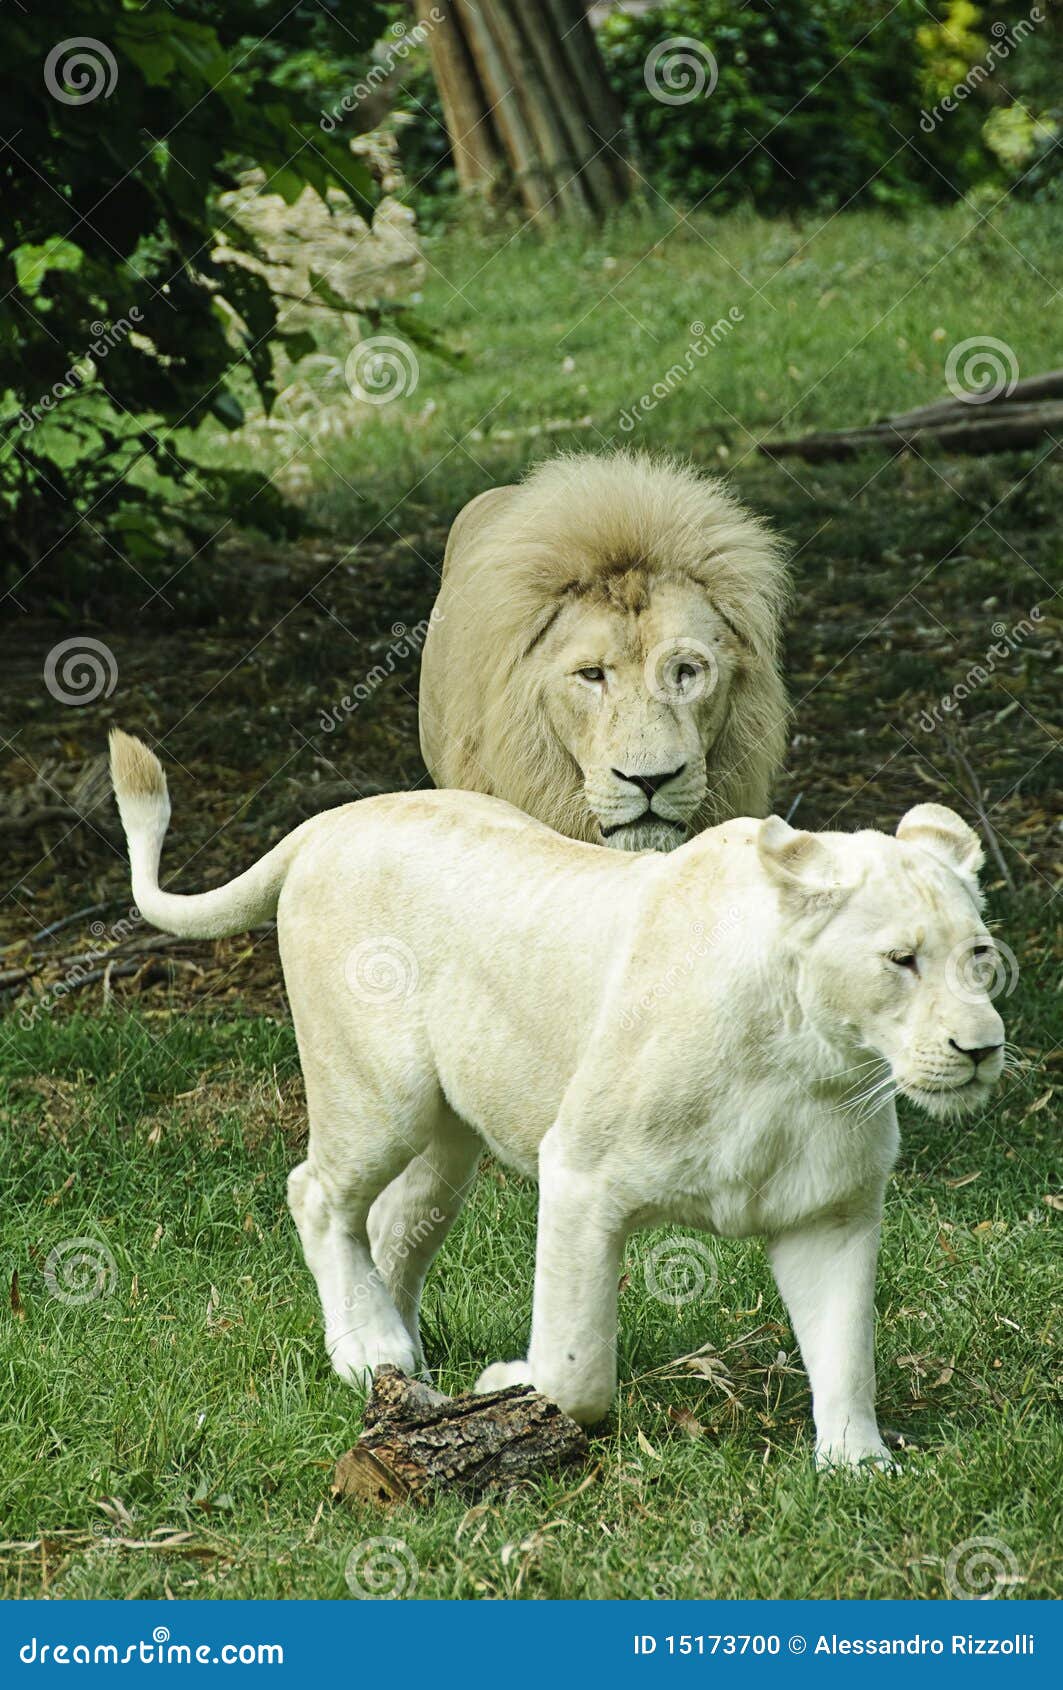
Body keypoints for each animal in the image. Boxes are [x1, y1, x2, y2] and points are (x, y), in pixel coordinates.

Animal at [112, 727, 1006, 1465]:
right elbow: (580, 1368)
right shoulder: (580, 1173)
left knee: (390, 1221)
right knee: (318, 1194)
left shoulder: (830, 1212)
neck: (813, 1063)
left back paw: (397, 1367)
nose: (981, 1048)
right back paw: (369, 1350)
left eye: (979, 956)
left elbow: (846, 1354)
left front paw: (858, 1468)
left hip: (445, 1139)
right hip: (378, 1094)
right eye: (899, 960)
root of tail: (328, 821)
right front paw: (511, 1384)